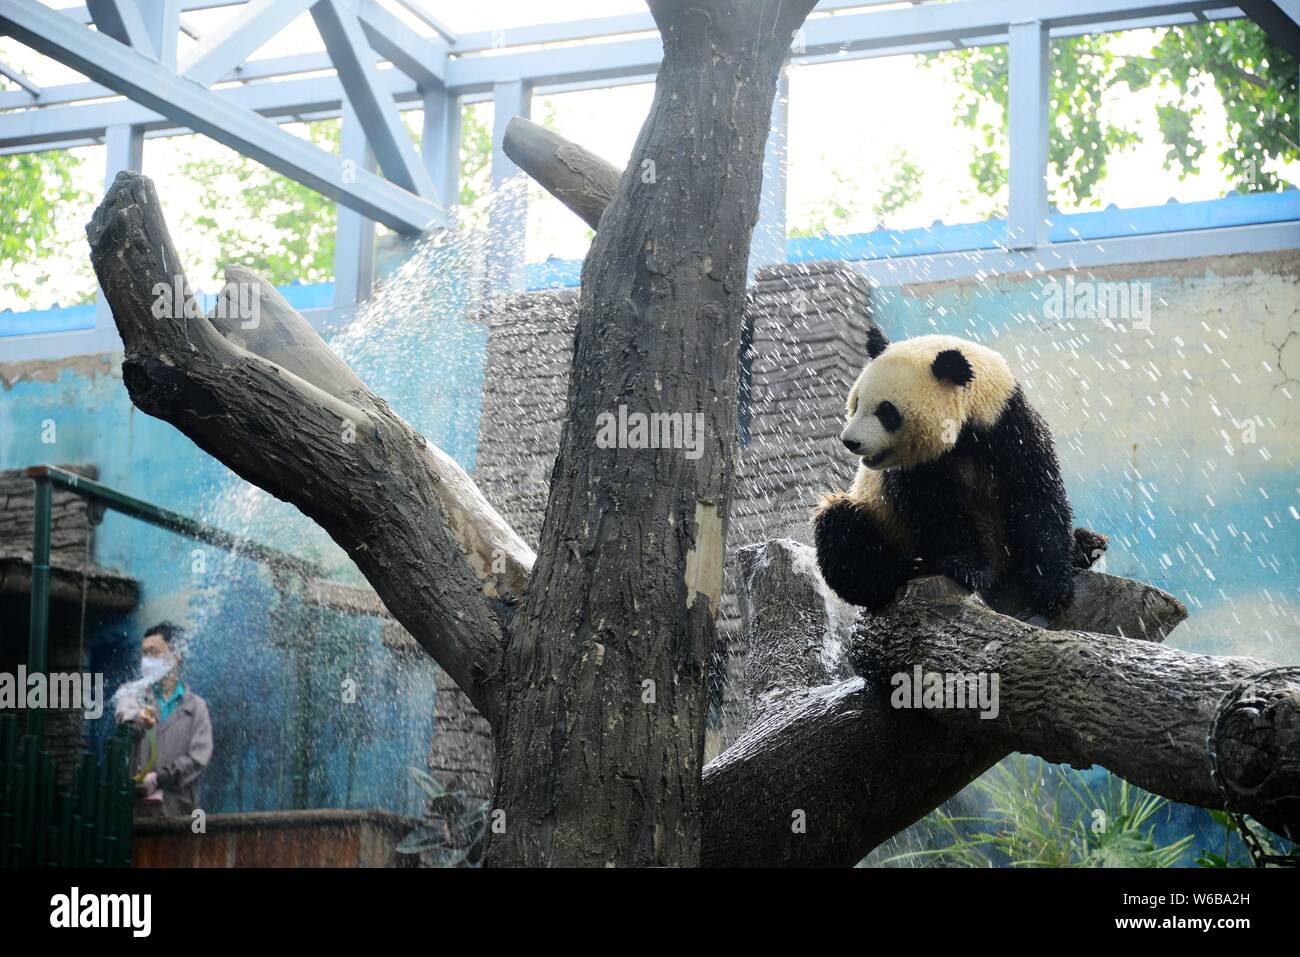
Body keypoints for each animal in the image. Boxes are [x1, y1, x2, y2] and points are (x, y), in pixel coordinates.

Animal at [813, 326, 1105, 617]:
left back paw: (1087, 546)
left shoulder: (1008, 424)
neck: (965, 430)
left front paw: (1051, 585)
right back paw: (906, 570)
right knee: (842, 529)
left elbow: (1035, 494)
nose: (850, 441)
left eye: (887, 411)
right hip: (879, 515)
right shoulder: (916, 466)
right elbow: (935, 510)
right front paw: (970, 568)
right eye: (856, 403)